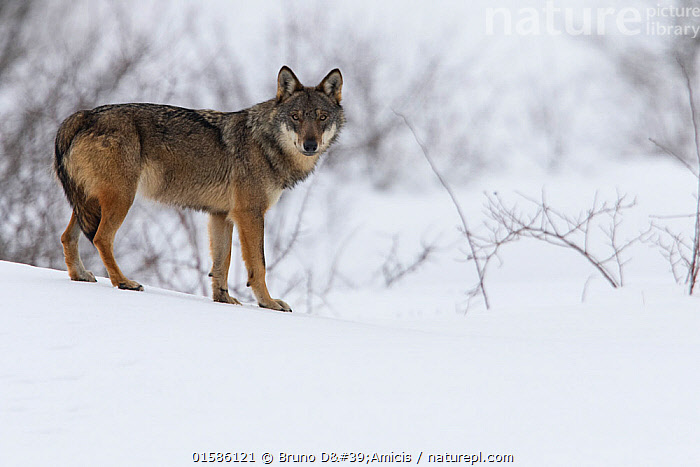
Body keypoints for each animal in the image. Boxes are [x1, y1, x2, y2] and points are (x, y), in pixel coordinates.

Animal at [54, 66, 344, 312]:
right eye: (296, 117)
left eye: (322, 118)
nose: (310, 145)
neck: (265, 143)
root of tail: (83, 115)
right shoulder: (249, 214)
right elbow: (258, 265)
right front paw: (268, 303)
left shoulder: (221, 215)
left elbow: (221, 264)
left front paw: (223, 300)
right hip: (121, 199)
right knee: (101, 238)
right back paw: (124, 282)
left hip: (90, 203)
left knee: (67, 236)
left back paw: (80, 275)